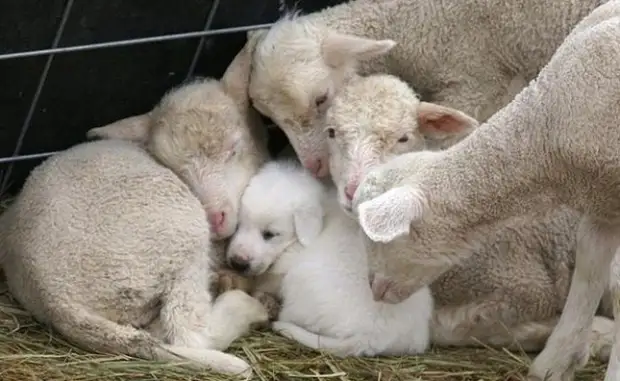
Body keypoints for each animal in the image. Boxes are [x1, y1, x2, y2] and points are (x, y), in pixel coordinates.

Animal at [0, 40, 272, 378]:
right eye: (173, 166)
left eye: (234, 148)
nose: (215, 218)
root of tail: (56, 299)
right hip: (177, 235)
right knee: (189, 334)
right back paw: (248, 308)